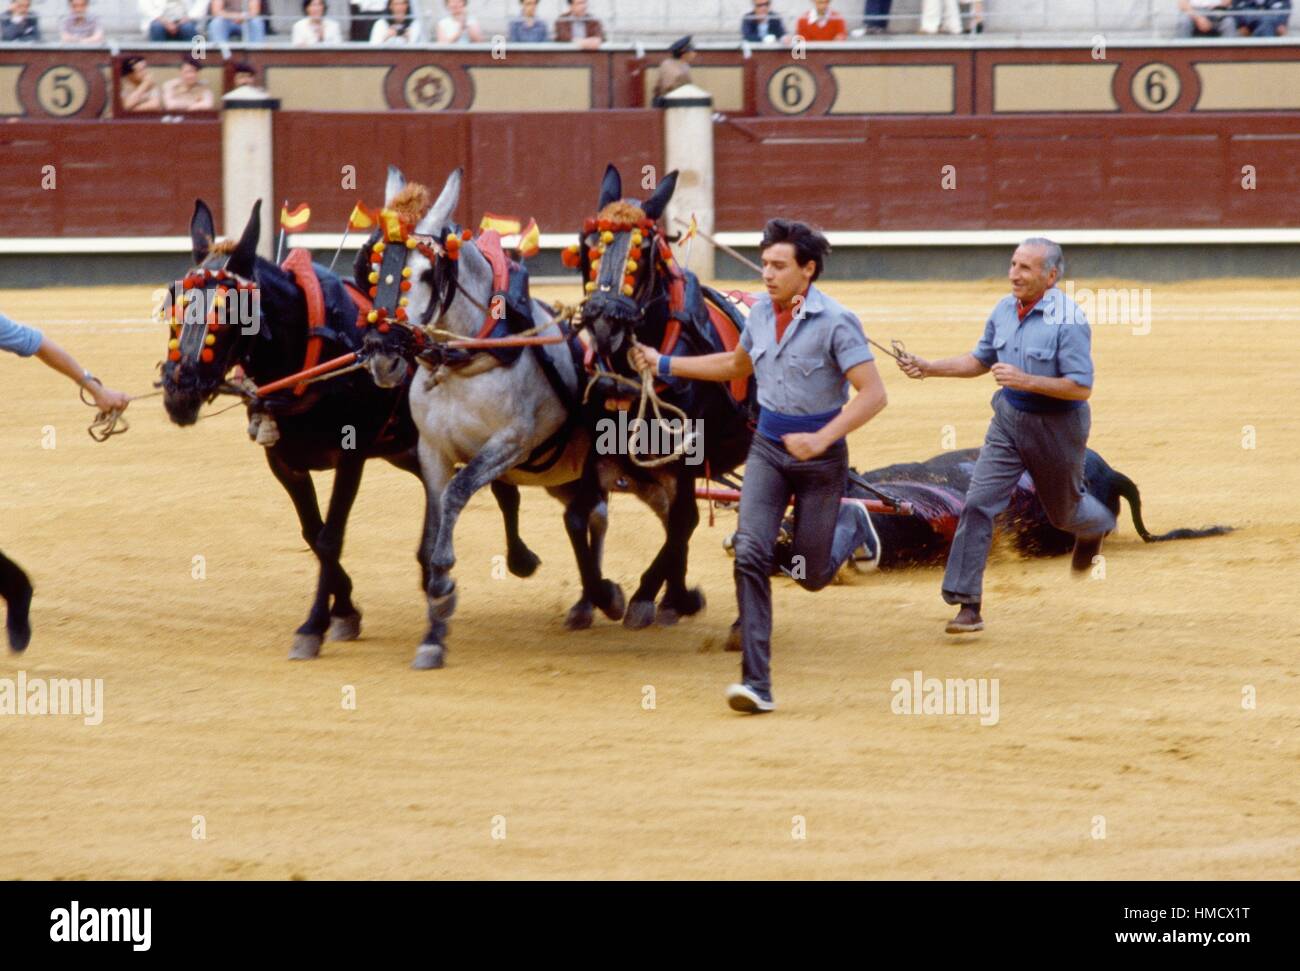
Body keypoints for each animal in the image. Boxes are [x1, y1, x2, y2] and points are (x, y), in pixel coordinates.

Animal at [159, 196, 541, 660]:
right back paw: (431, 571)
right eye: (174, 300)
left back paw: (517, 559)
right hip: (405, 449)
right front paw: (343, 610)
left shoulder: (352, 455)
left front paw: (313, 626)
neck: (308, 351)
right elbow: (313, 532)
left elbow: (330, 536)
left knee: (503, 490)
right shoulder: (283, 461)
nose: (179, 392)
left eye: (234, 311)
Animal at [359, 166, 626, 670]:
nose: (382, 355)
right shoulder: (433, 450)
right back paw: (587, 599)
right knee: (584, 517)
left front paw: (443, 583)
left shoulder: (510, 443)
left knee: (592, 516)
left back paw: (602, 596)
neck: (460, 360)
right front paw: (434, 630)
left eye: (425, 273)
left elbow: (458, 494)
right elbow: (437, 514)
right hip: (560, 476)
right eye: (371, 267)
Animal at [576, 164, 757, 629]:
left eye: (642, 254)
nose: (603, 323)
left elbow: (683, 522)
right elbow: (586, 515)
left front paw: (643, 597)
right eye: (587, 247)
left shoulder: (687, 460)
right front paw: (596, 597)